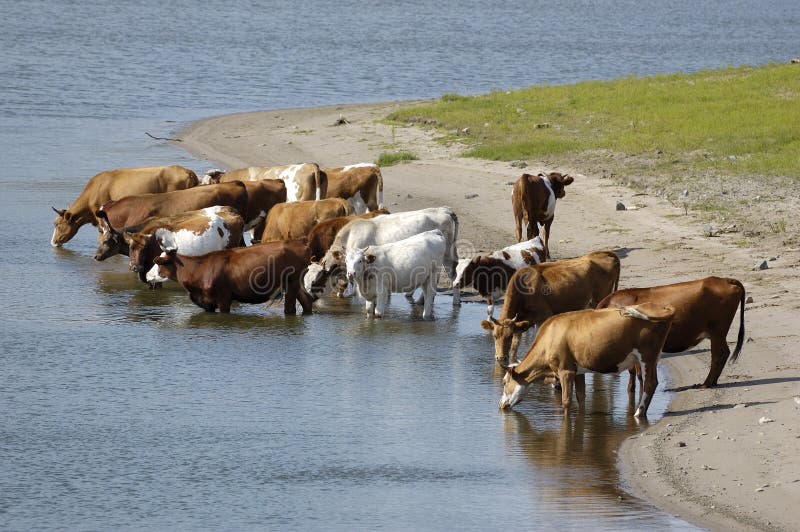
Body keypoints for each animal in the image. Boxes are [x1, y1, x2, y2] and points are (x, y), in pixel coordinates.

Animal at [146, 238, 314, 315]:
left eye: (159, 263)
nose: (147, 274)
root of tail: (303, 245)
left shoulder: (223, 298)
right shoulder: (208, 303)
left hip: (291, 284)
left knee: (290, 308)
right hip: (296, 284)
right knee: (306, 301)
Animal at [317, 206, 460, 305]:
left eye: (319, 279)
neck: (350, 236)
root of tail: (444, 209)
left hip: (447, 253)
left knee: (452, 274)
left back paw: (455, 303)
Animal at [481, 250, 620, 367]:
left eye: (508, 336)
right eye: (494, 336)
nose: (500, 358)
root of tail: (604, 253)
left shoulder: (544, 316)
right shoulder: (521, 322)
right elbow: (514, 348)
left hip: (600, 299)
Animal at [498, 303, 675, 418]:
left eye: (505, 383)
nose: (500, 404)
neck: (549, 337)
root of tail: (662, 307)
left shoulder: (565, 371)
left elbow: (566, 401)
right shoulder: (578, 371)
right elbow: (581, 398)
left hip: (647, 356)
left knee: (650, 383)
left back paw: (639, 413)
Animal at [596, 276, 746, 390]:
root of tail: (725, 279)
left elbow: (635, 372)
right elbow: (635, 372)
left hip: (717, 330)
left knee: (719, 354)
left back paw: (706, 384)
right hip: (718, 332)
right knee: (723, 353)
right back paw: (712, 382)